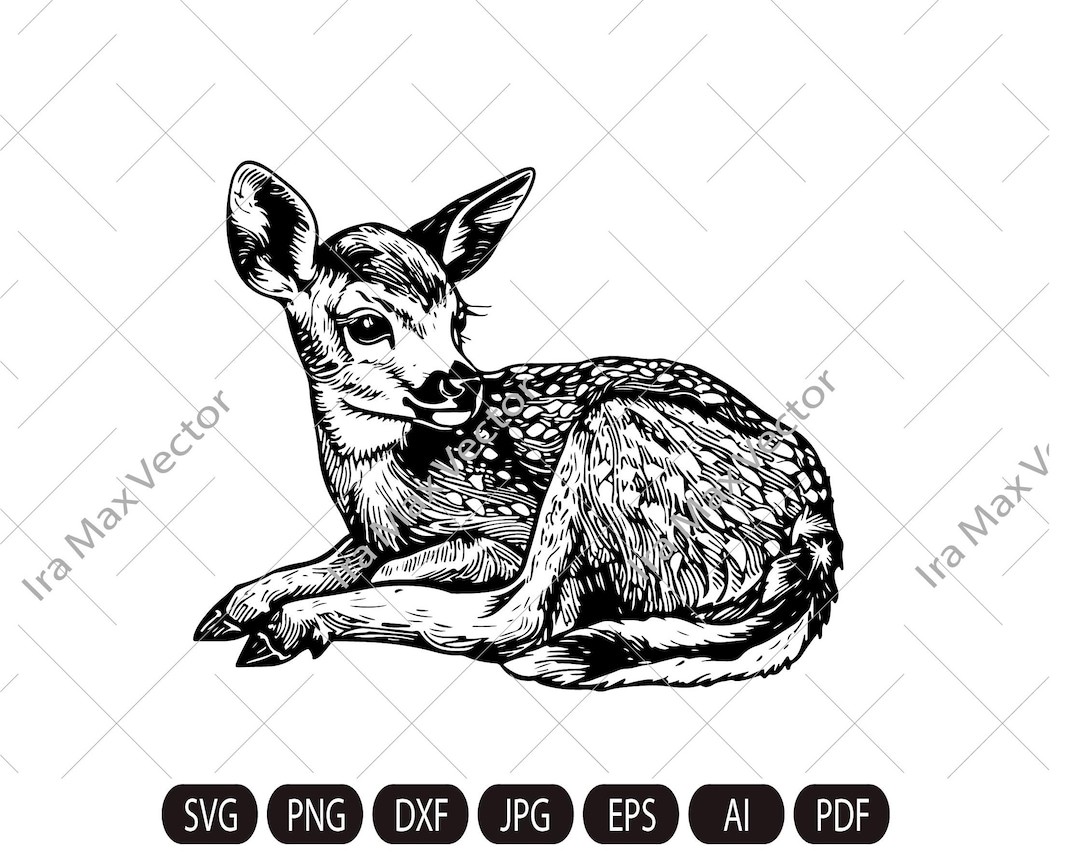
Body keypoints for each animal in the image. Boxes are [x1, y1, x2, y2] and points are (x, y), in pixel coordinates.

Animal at [193, 162, 842, 689]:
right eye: (368, 325)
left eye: (458, 319)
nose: (462, 384)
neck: (384, 485)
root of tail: (817, 523)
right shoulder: (368, 534)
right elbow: (328, 563)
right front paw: (240, 602)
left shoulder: (504, 526)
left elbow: (403, 568)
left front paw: (273, 612)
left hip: (607, 452)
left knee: (522, 619)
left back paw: (293, 629)